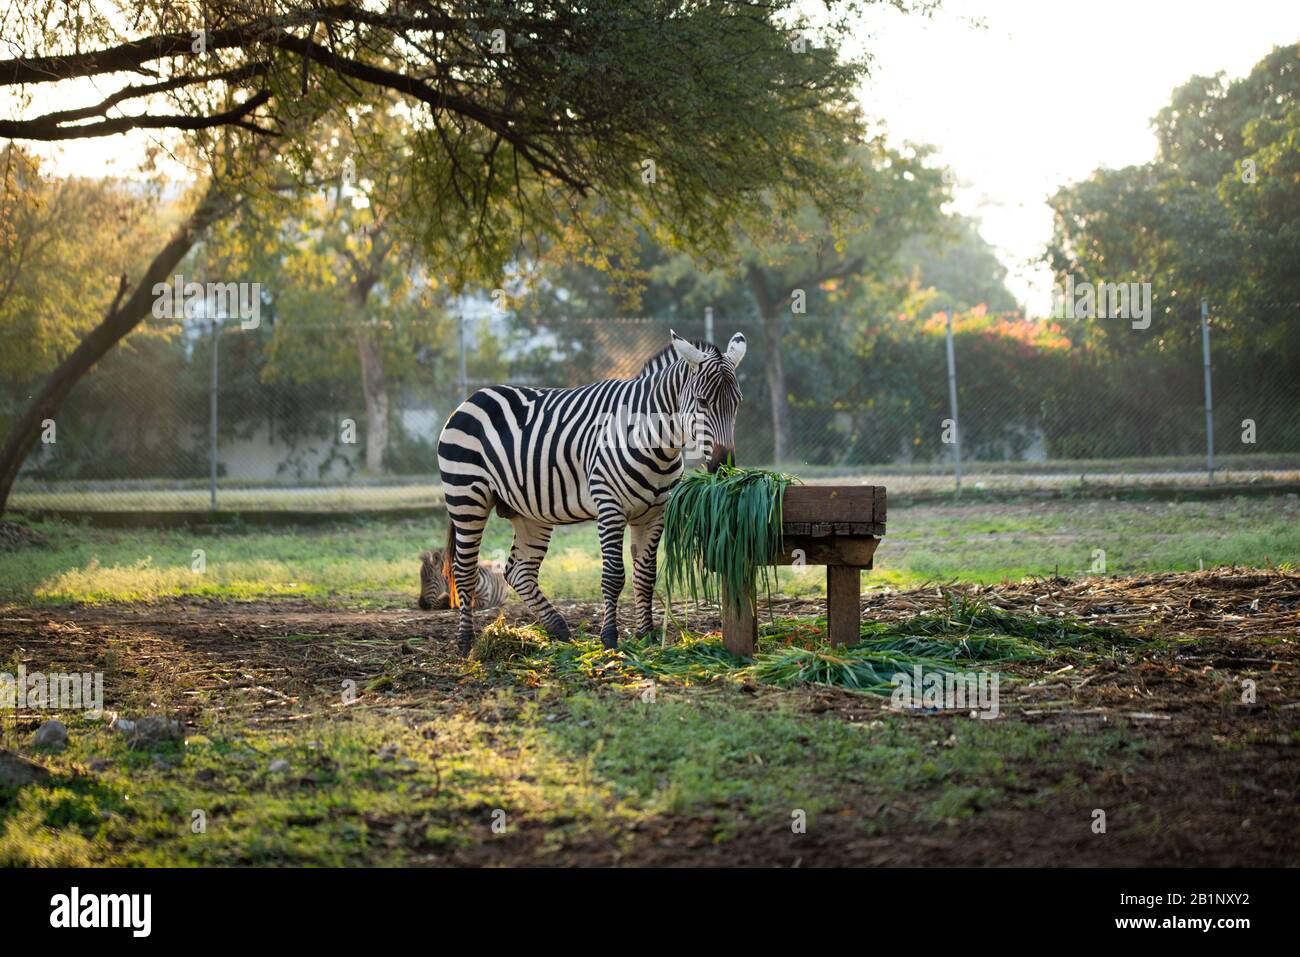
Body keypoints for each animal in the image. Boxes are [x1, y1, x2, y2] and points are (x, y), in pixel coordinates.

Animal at [436, 330, 746, 653]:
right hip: (466, 499)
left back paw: (558, 629)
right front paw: (609, 637)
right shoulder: (610, 506)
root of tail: (473, 397)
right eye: (702, 401)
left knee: (519, 570)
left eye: (737, 403)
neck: (653, 438)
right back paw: (466, 643)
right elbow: (613, 576)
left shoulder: (654, 513)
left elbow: (646, 575)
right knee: (464, 571)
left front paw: (645, 635)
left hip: (528, 511)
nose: (723, 465)